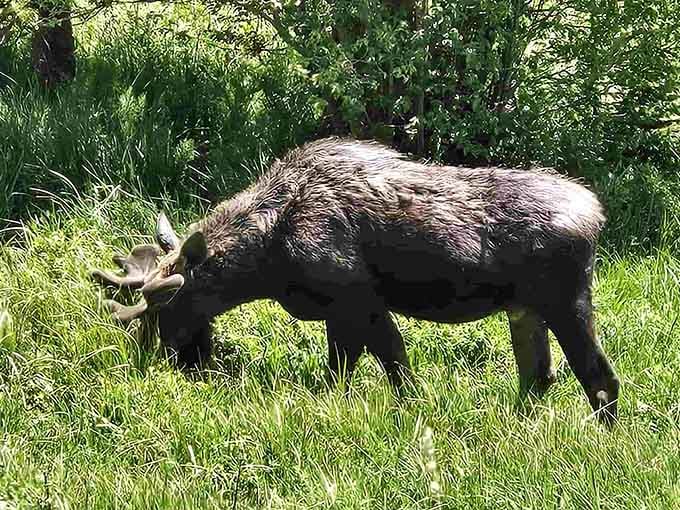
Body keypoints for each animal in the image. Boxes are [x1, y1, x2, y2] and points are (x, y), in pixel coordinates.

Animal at [92, 137, 620, 425]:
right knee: (538, 376)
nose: (167, 363)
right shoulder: (335, 312)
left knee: (600, 378)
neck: (267, 260)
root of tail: (596, 214)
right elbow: (340, 373)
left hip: (566, 300)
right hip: (524, 310)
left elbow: (395, 365)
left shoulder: (358, 299)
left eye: (168, 305)